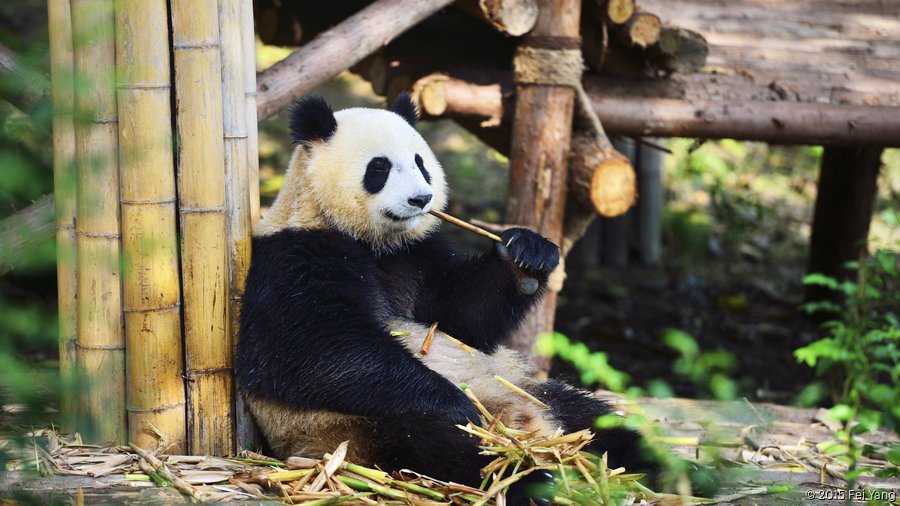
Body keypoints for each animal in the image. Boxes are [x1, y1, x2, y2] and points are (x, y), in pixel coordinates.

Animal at [235, 94, 652, 491]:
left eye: (421, 163)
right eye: (379, 167)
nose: (421, 199)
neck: (371, 241)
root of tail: (528, 423)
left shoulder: (417, 255)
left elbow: (463, 317)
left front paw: (527, 257)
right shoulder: (294, 260)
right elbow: (322, 349)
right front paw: (454, 401)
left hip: (525, 387)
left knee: (590, 417)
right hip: (352, 428)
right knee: (436, 445)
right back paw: (525, 477)